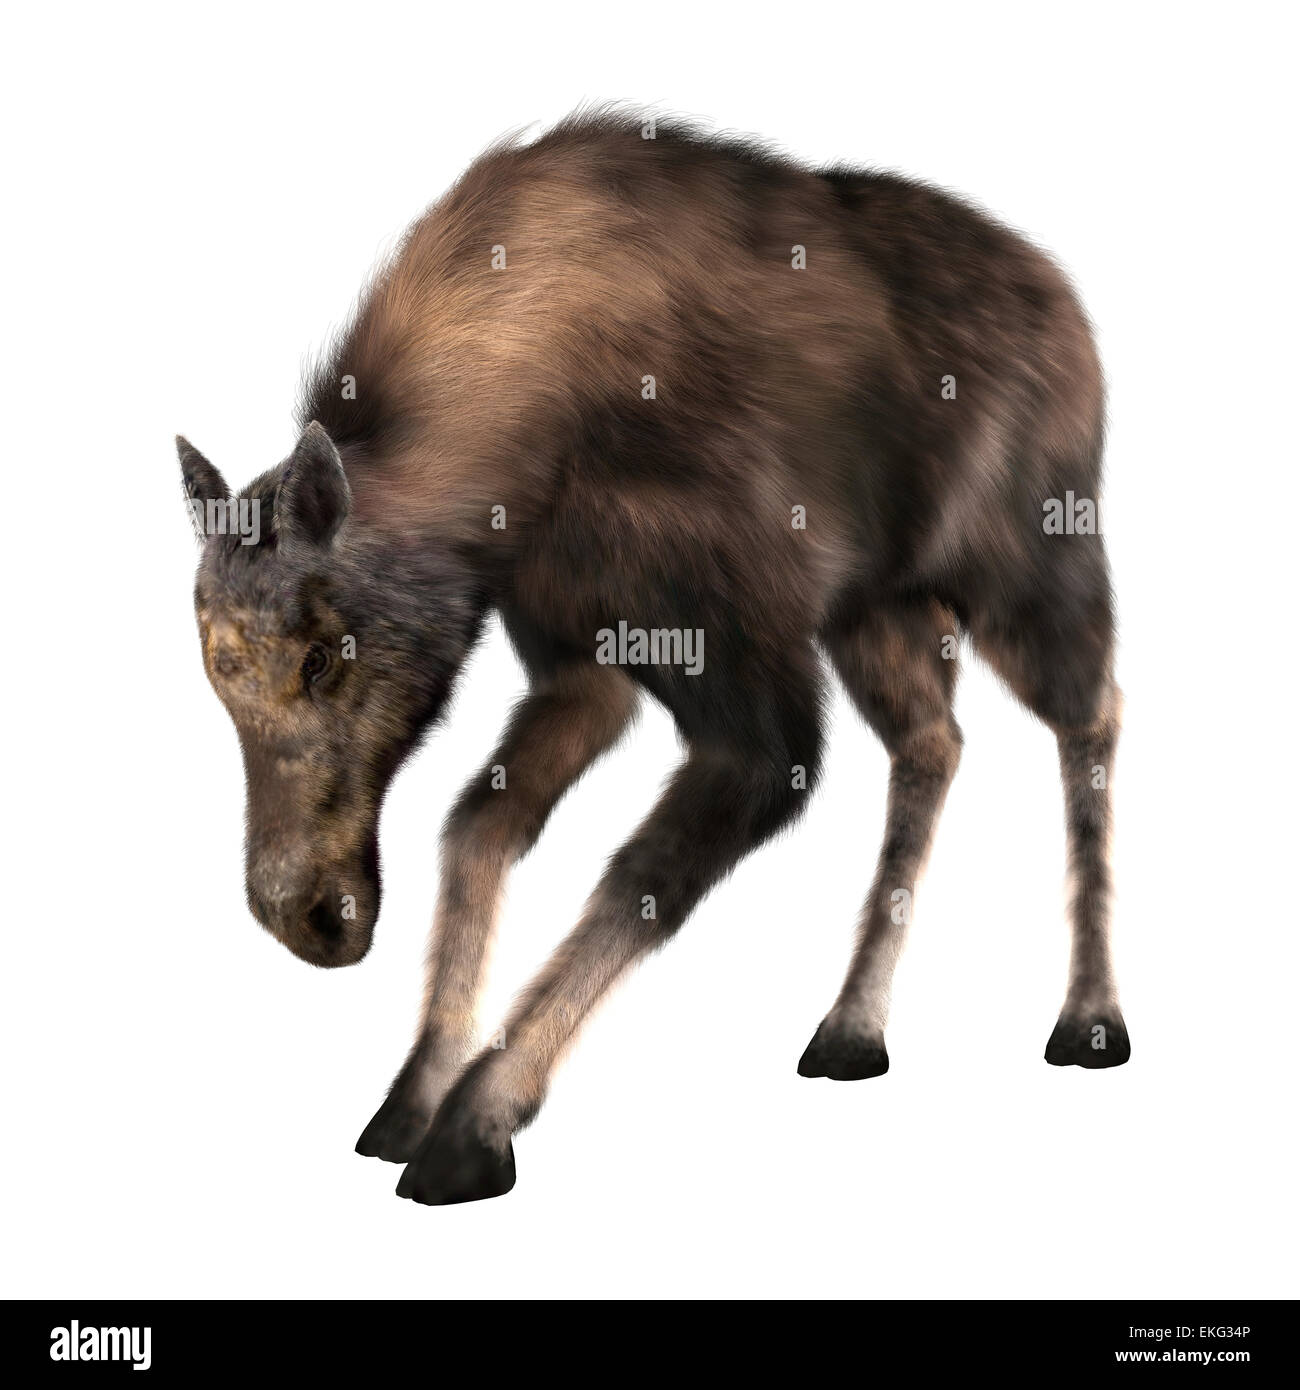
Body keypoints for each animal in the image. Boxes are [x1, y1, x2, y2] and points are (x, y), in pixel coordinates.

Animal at [177, 112, 1128, 1206]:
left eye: (323, 656)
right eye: (216, 670)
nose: (309, 914)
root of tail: (1073, 315)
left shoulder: (746, 695)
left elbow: (646, 869)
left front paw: (476, 1121)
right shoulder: (585, 669)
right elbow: (478, 827)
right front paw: (415, 1091)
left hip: (1031, 569)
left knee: (1093, 711)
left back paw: (1090, 1017)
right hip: (874, 612)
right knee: (935, 739)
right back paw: (852, 1025)